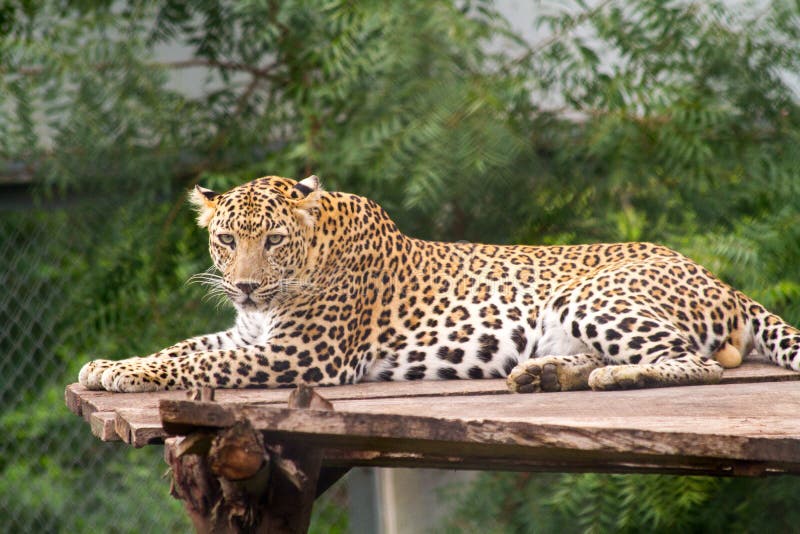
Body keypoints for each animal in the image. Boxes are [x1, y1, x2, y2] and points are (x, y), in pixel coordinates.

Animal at [78, 175, 800, 394]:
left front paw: (126, 375)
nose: (248, 287)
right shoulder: (251, 334)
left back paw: (617, 378)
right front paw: (112, 364)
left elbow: (204, 364)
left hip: (592, 294)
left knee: (699, 363)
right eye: (227, 240)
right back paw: (547, 374)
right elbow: (188, 349)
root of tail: (717, 279)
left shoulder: (302, 356)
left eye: (274, 240)